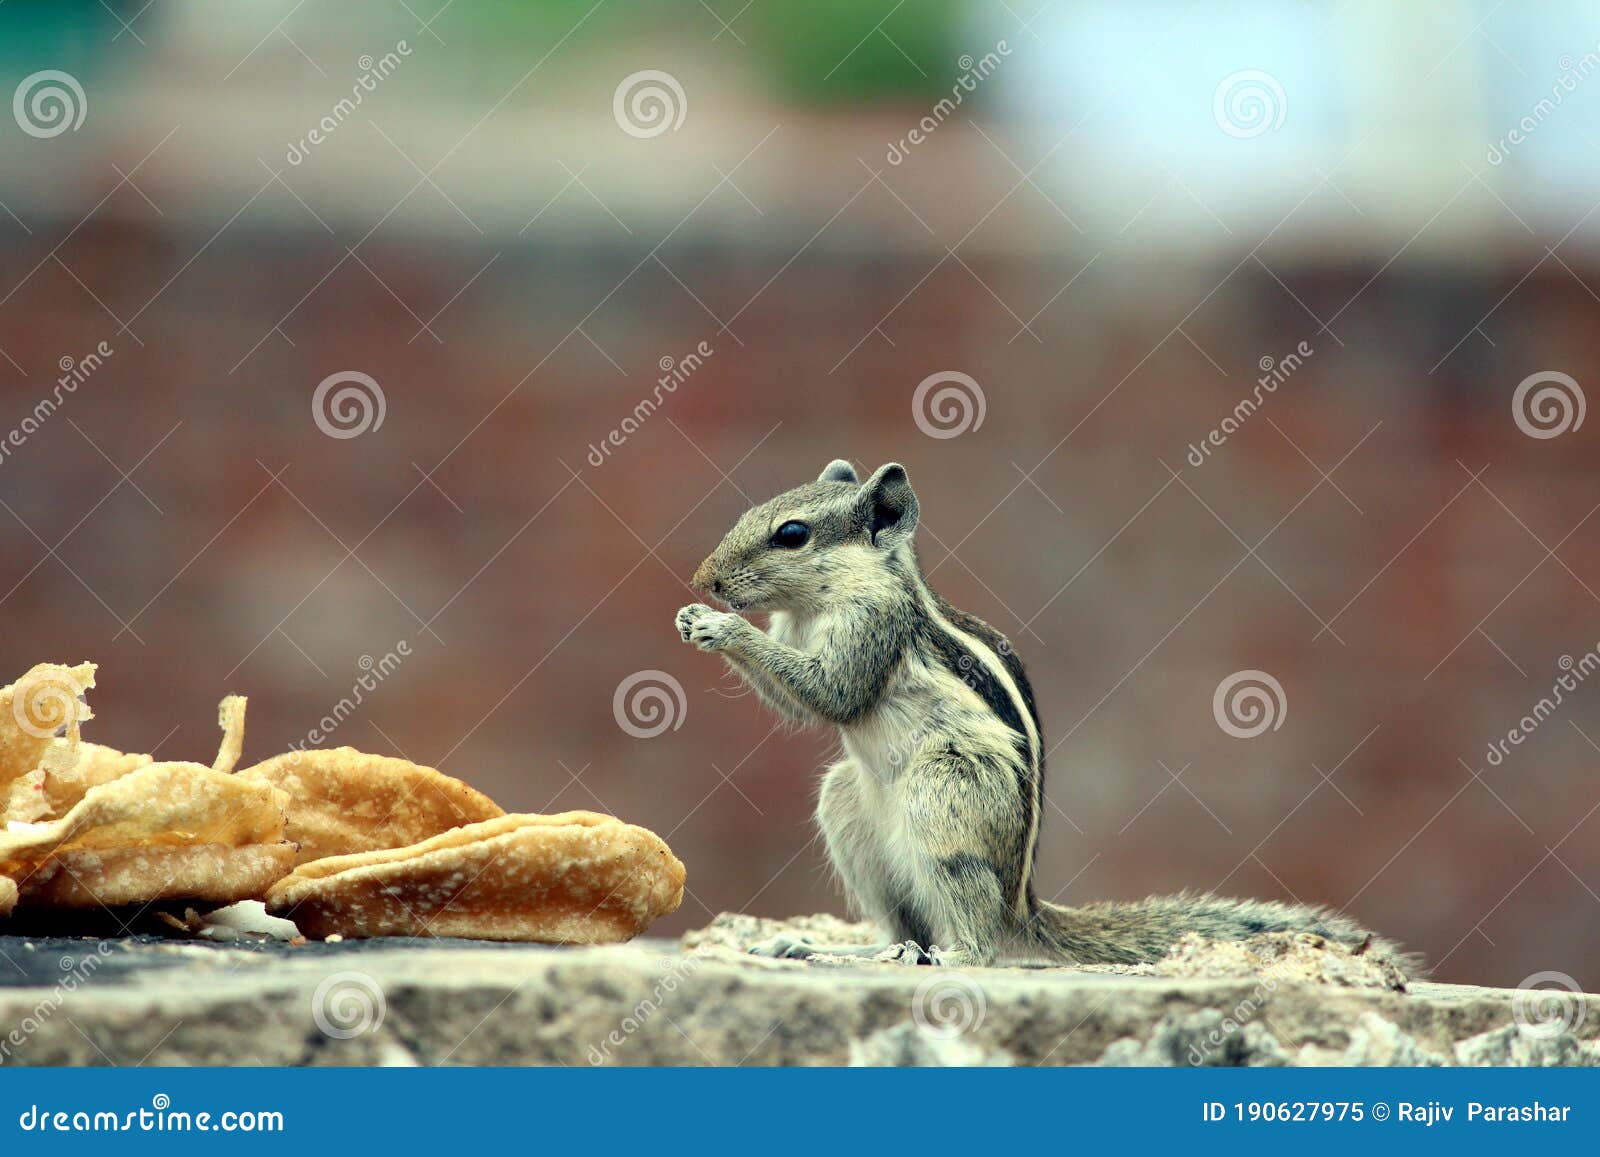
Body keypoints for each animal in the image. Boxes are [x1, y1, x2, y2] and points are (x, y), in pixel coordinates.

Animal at [676, 459, 1406, 970]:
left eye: (792, 534)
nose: (704, 580)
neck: (825, 599)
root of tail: (1018, 908)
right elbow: (797, 705)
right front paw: (694, 618)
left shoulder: (871, 627)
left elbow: (832, 693)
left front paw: (719, 627)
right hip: (850, 815)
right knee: (905, 925)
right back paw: (845, 950)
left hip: (942, 799)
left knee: (975, 943)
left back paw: (934, 953)